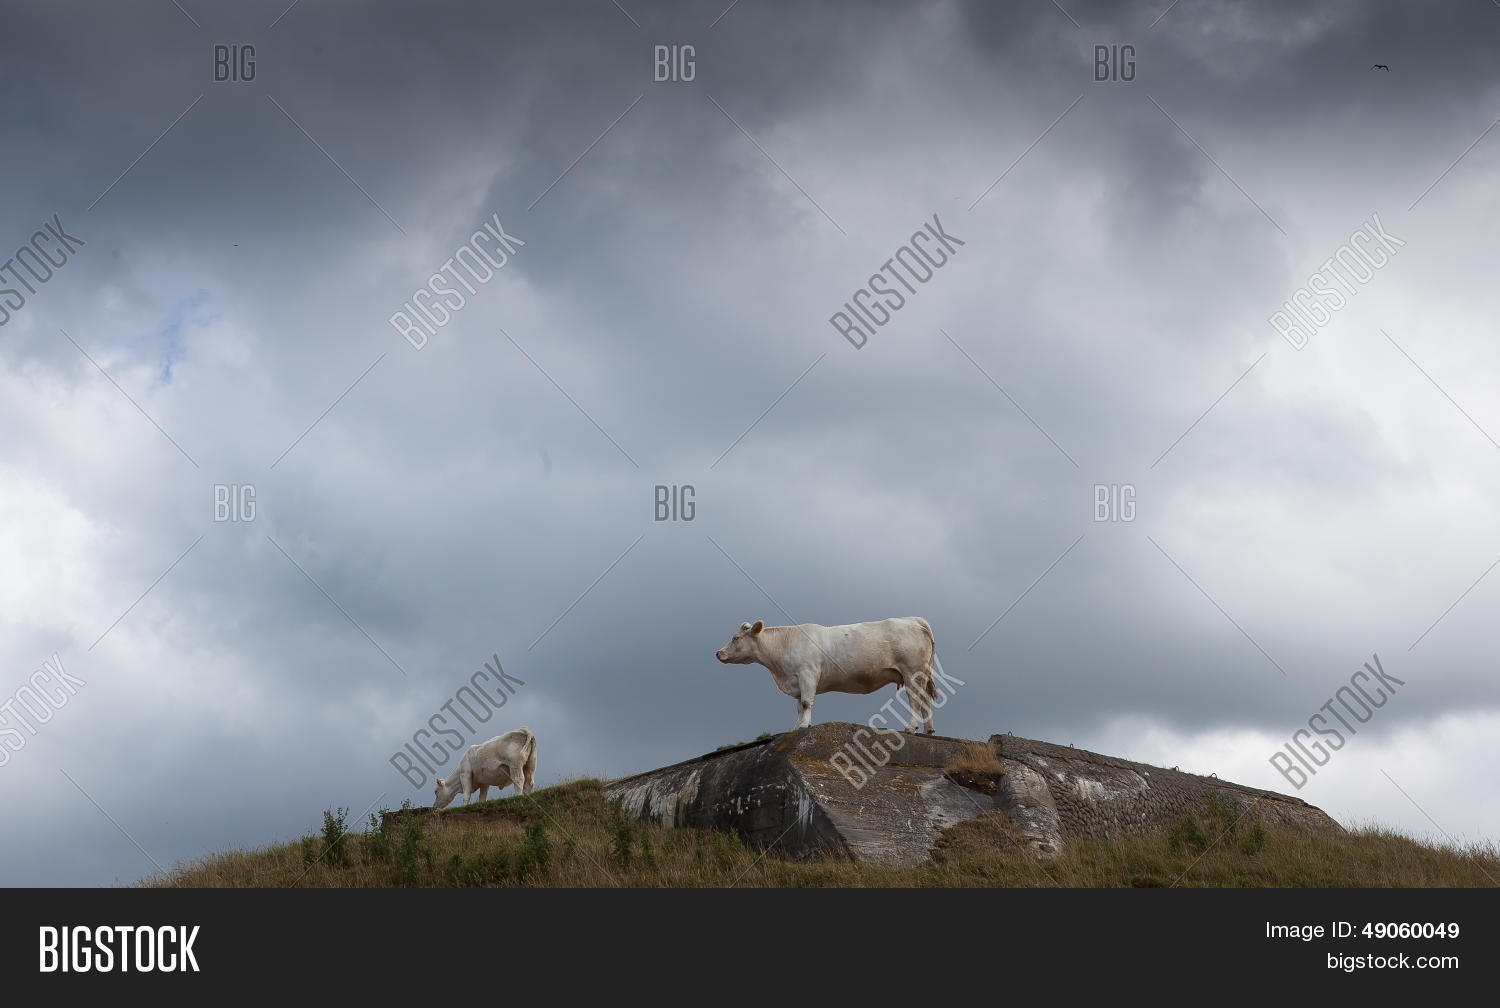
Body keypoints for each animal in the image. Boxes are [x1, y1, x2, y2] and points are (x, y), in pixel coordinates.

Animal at [715, 617, 938, 733]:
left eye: (735, 638)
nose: (718, 653)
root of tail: (913, 620)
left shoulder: (807, 673)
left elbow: (806, 703)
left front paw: (804, 725)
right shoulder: (797, 680)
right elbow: (799, 706)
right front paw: (796, 727)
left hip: (912, 672)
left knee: (915, 700)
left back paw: (910, 727)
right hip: (921, 674)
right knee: (925, 700)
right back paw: (929, 730)